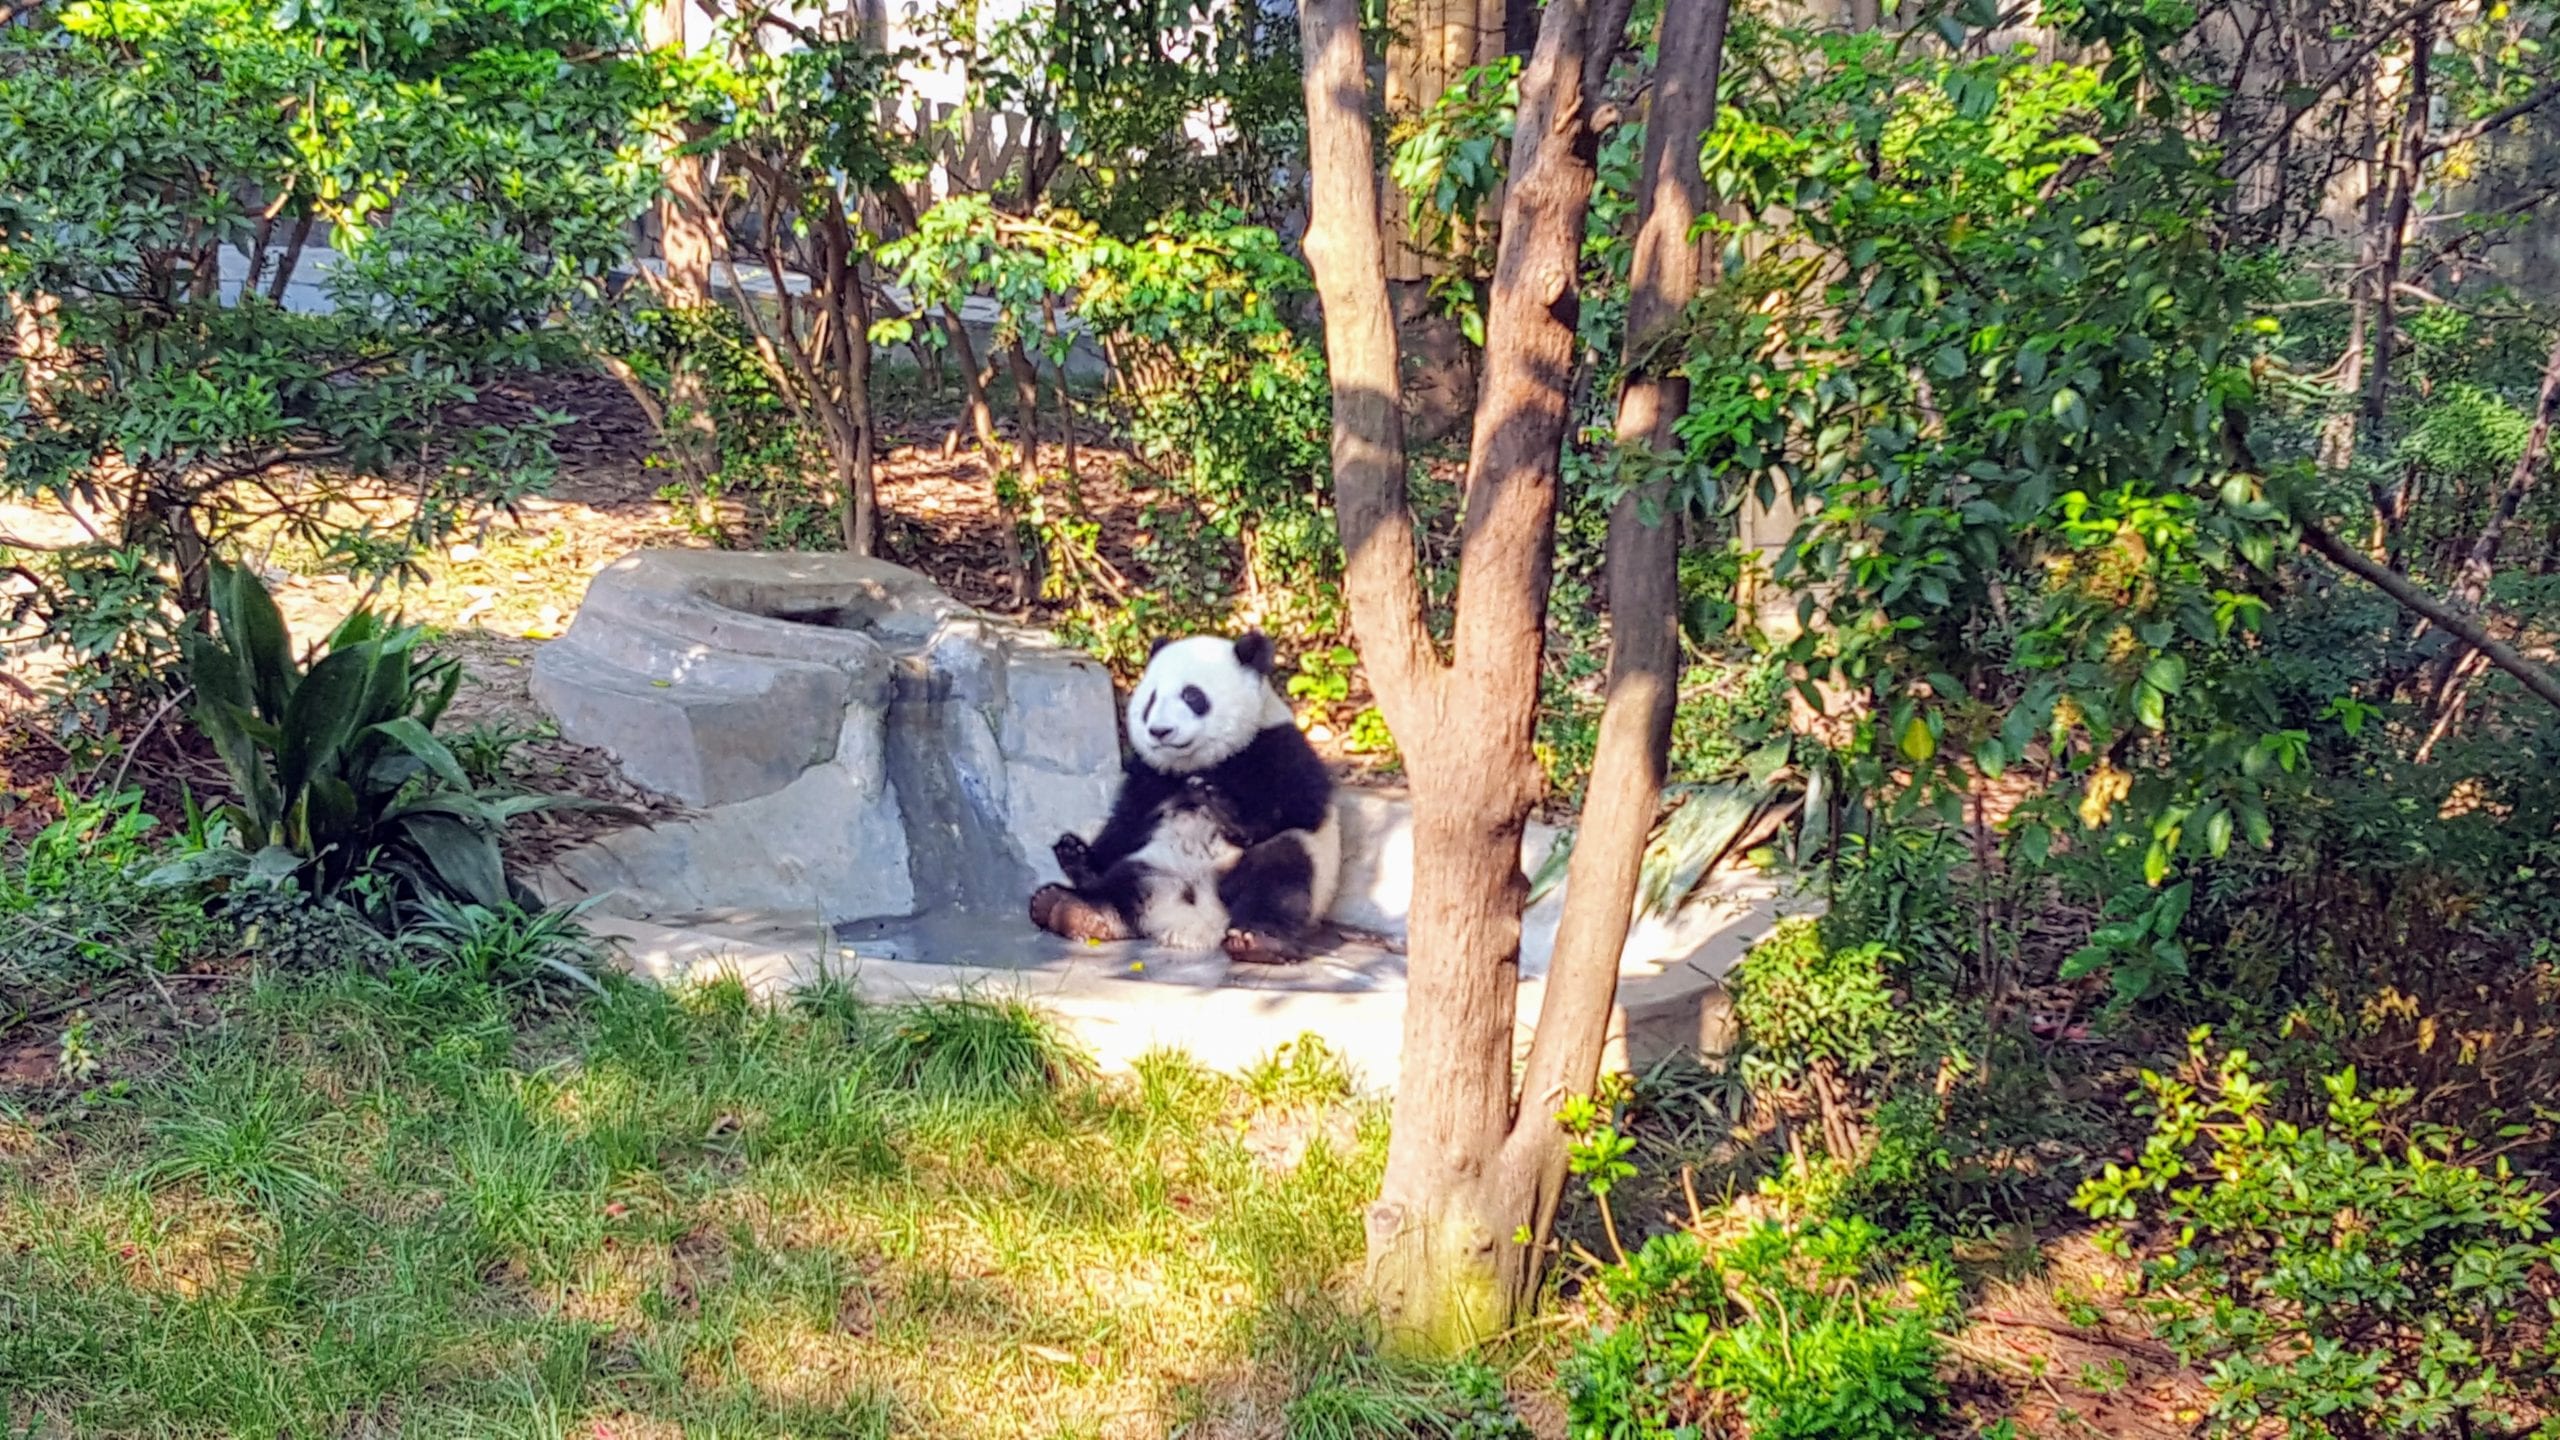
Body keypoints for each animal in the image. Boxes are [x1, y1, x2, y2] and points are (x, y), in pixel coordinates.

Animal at [1027, 631, 1340, 964]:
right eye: (1151, 699)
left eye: (1192, 696)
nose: (1159, 731)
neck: (1203, 761)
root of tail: (1193, 925)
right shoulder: (1151, 775)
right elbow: (1125, 823)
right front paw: (1077, 852)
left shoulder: (1277, 746)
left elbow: (1300, 805)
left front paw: (1222, 807)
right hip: (1152, 864)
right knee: (1120, 887)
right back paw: (1068, 906)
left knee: (1279, 870)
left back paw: (1256, 940)